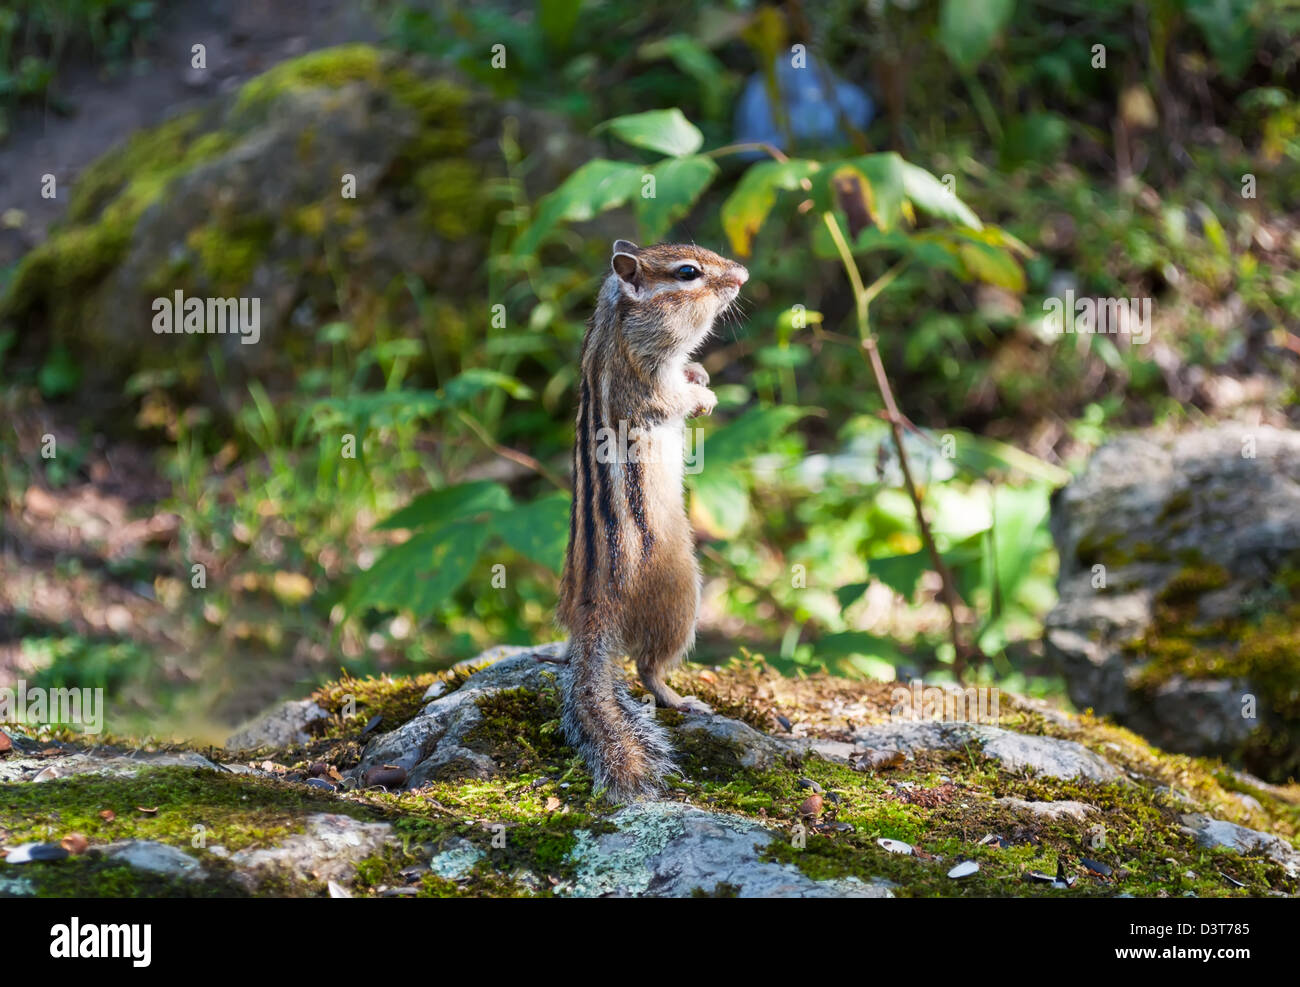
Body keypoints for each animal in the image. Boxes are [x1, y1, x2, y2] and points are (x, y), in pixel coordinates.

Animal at [557, 239, 749, 801]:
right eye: (688, 273)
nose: (743, 275)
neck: (617, 326)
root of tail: (593, 607)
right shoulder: (645, 382)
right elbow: (673, 399)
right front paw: (704, 397)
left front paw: (700, 374)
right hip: (683, 598)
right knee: (648, 667)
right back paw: (681, 698)